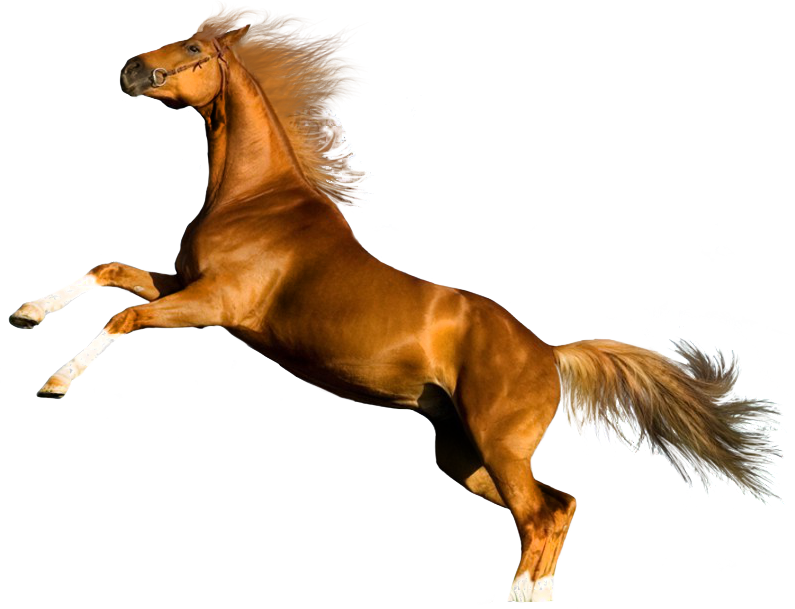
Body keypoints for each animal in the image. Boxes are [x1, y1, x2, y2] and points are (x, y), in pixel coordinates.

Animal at [9, 24, 785, 602]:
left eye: (194, 49)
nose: (129, 70)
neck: (256, 201)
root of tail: (549, 352)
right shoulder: (178, 281)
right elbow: (107, 272)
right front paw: (29, 315)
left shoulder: (213, 305)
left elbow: (121, 321)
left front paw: (55, 382)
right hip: (464, 456)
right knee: (559, 507)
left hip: (497, 448)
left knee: (540, 516)